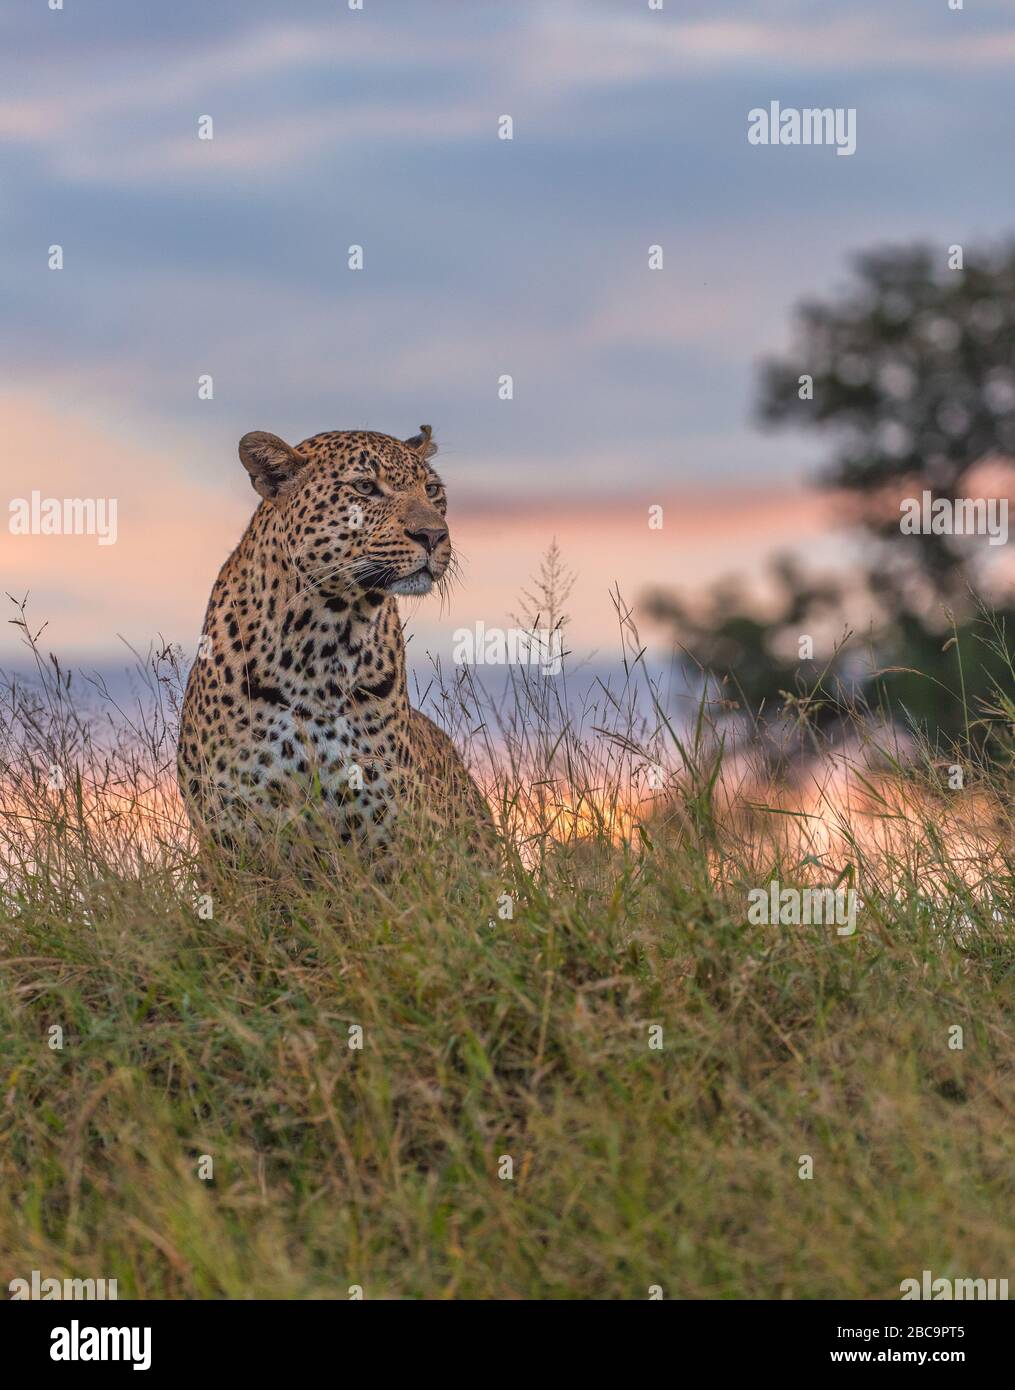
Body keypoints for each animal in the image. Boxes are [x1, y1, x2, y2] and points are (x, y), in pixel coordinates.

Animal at [177, 424, 489, 861]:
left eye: (432, 490)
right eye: (365, 487)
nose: (433, 534)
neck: (324, 640)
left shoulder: (386, 835)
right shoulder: (232, 838)